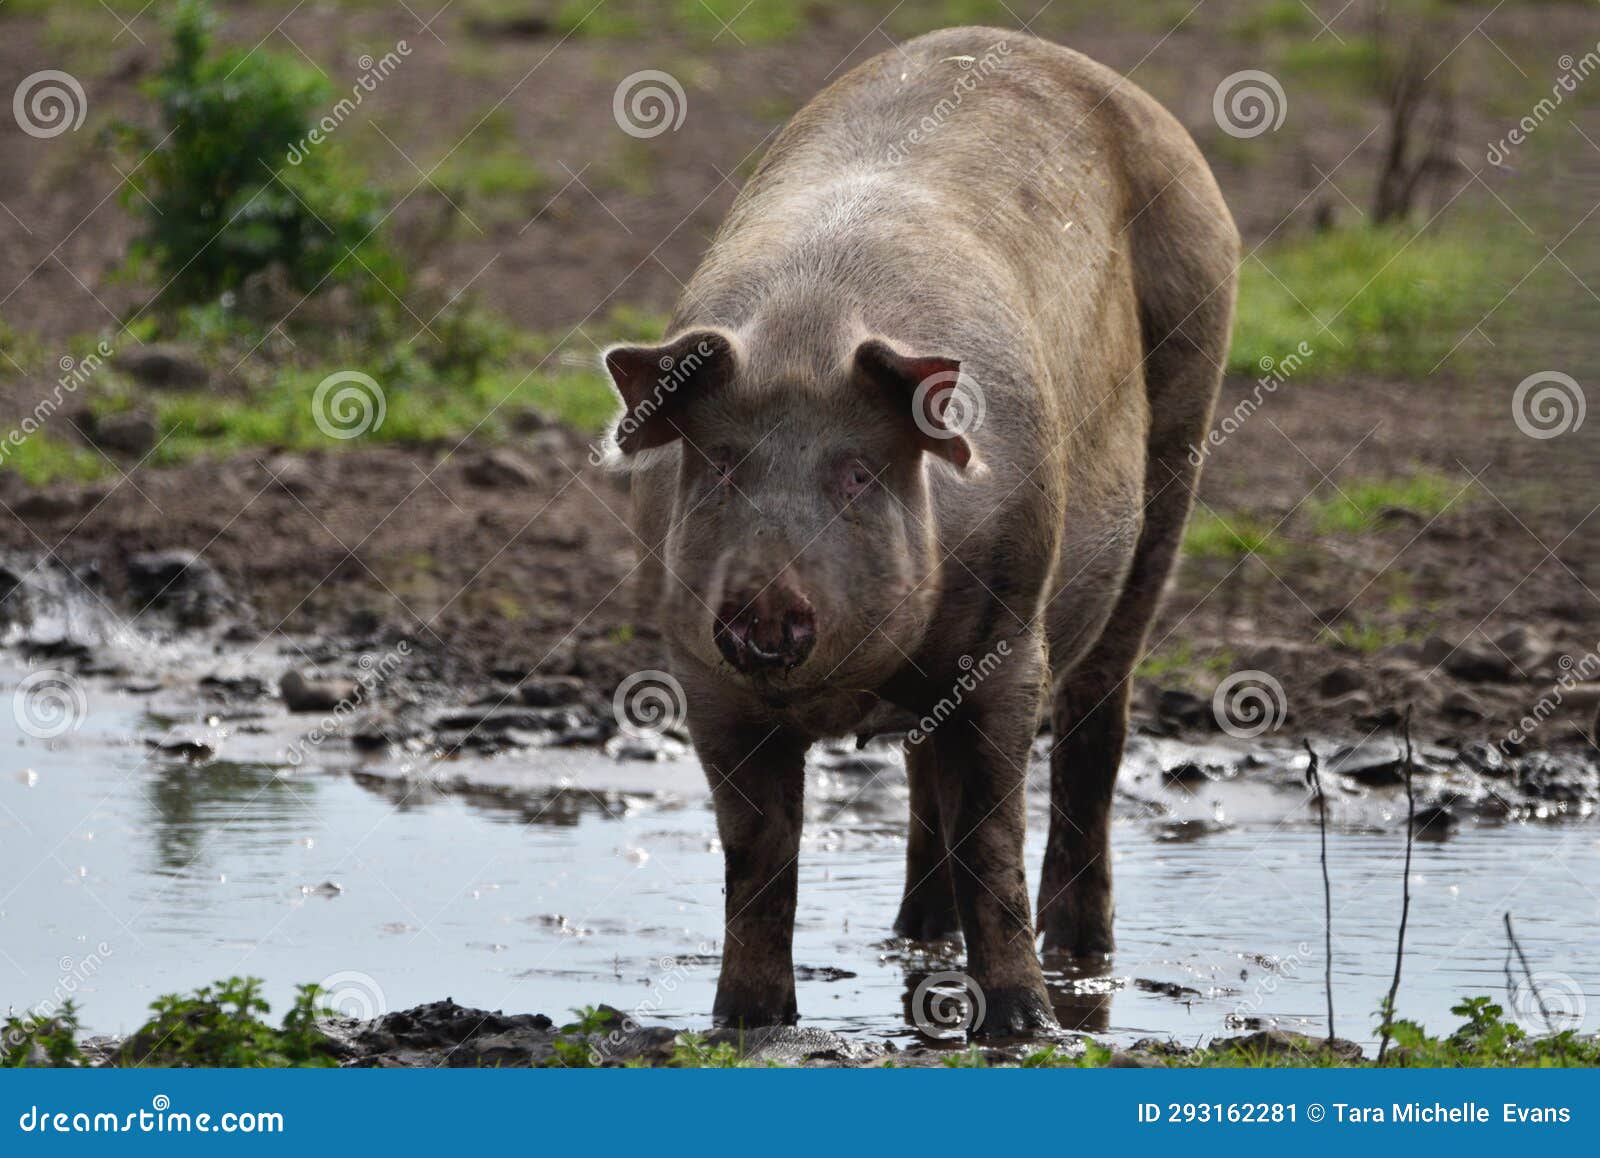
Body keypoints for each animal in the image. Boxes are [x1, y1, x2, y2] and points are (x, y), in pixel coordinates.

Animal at [602, 27, 1238, 1035]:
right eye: (724, 466)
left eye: (859, 473)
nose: (765, 605)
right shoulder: (704, 674)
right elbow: (758, 852)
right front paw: (747, 1023)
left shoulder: (1011, 635)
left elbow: (991, 830)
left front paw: (1023, 1026)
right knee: (923, 771)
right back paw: (913, 939)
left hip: (1183, 424)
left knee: (1095, 730)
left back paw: (1082, 960)